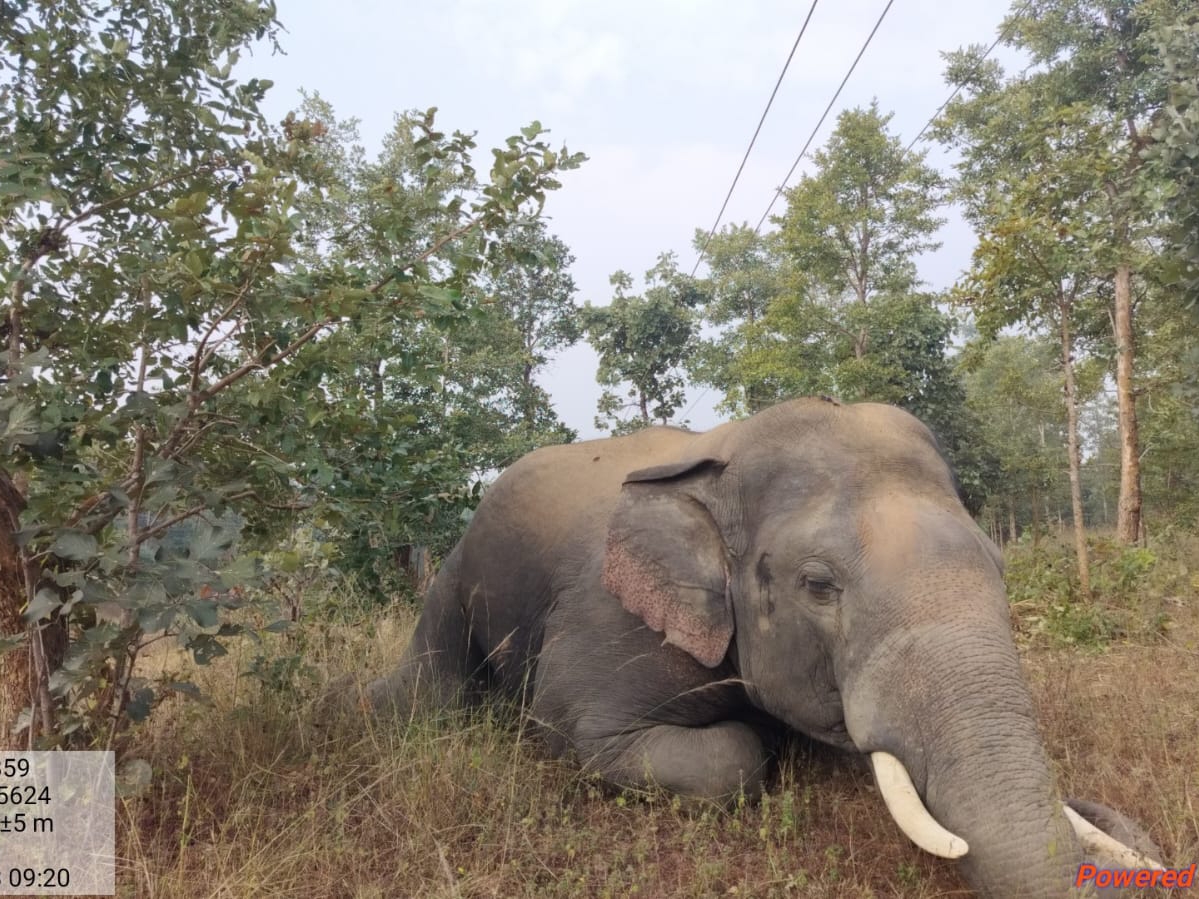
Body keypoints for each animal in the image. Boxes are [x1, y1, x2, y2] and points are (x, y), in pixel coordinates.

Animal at [366, 397, 1162, 897]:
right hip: (453, 581)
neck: (724, 452)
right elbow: (593, 732)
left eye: (998, 564)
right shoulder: (602, 617)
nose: (1093, 805)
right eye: (818, 584)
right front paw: (760, 739)